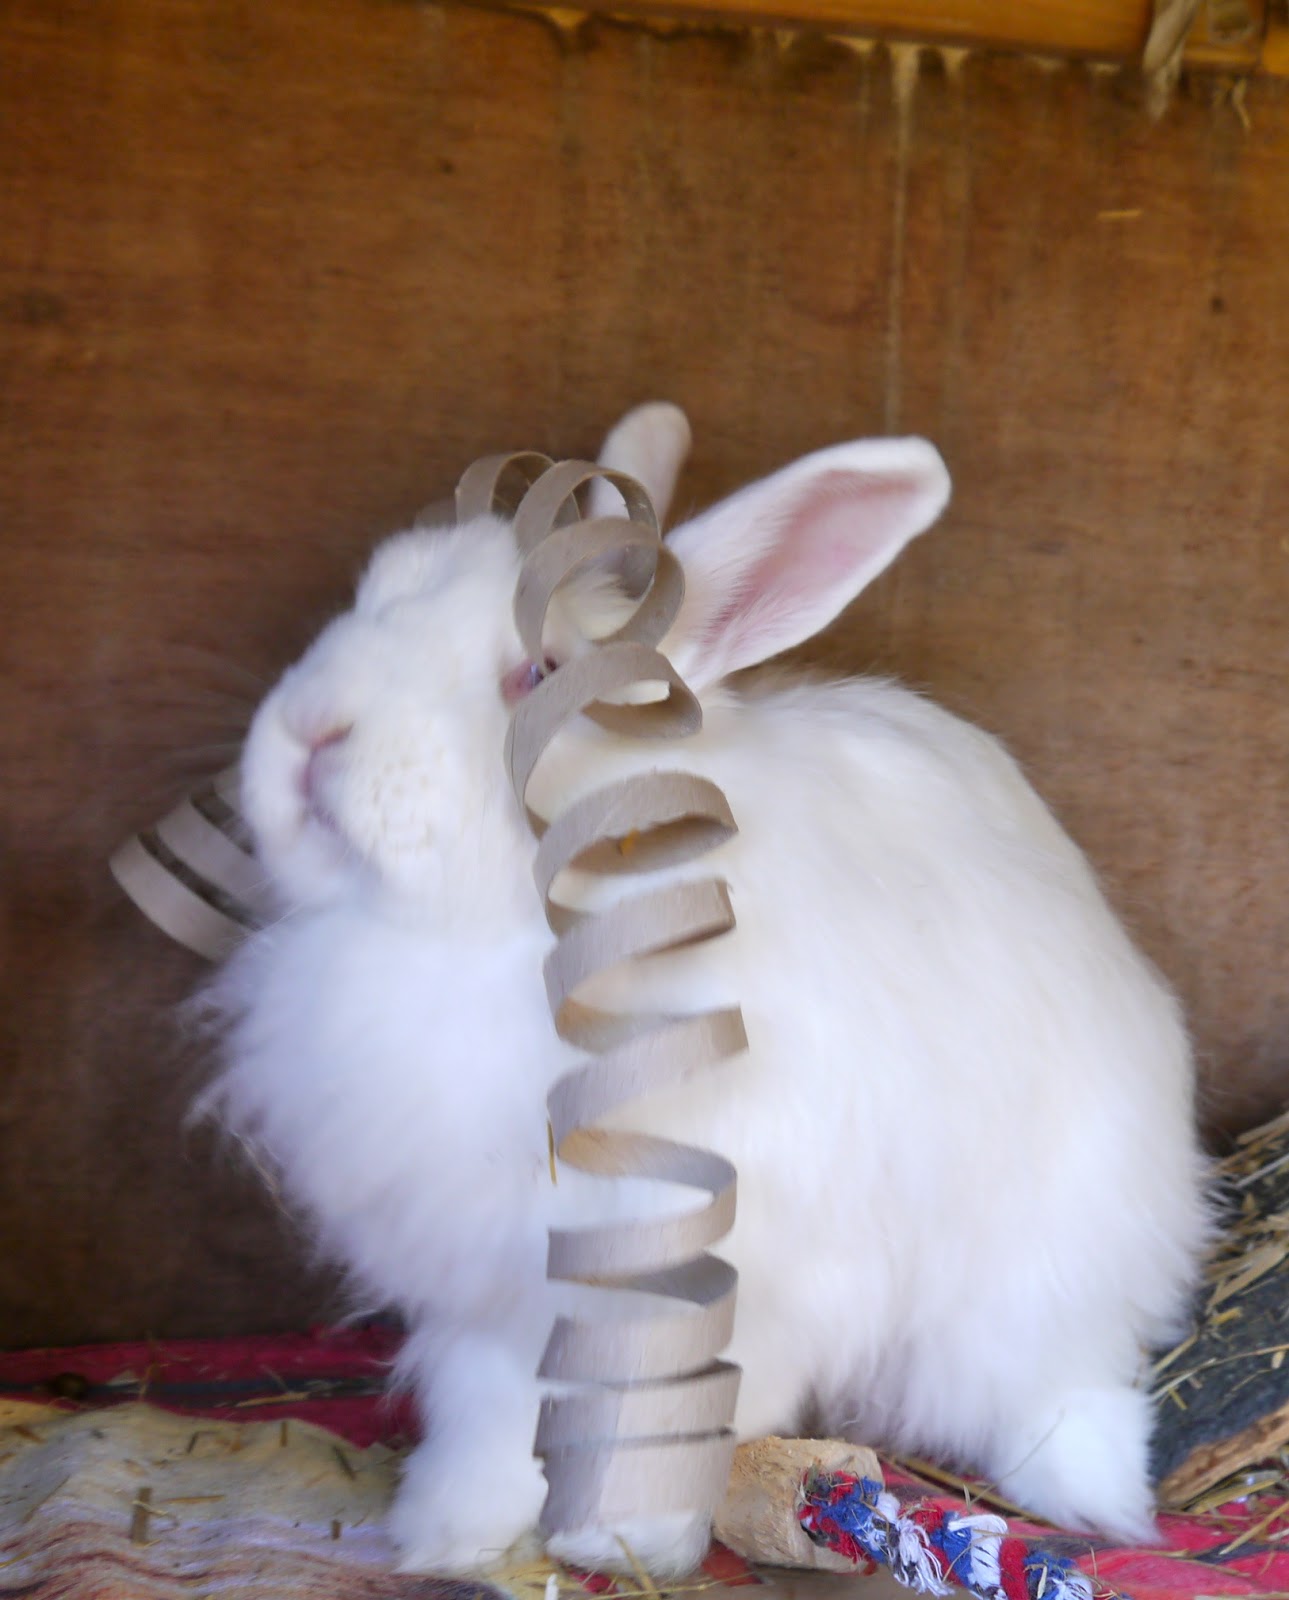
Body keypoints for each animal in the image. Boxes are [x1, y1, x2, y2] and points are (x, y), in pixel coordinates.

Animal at [202, 401, 1211, 1579]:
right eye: (372, 592)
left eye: (540, 672)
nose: (309, 731)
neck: (496, 935)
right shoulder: (494, 1295)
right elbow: (492, 1415)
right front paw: (447, 1530)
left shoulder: (715, 1278)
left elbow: (654, 1415)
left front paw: (619, 1532)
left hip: (1048, 1260)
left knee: (1063, 1385)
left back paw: (1093, 1499)